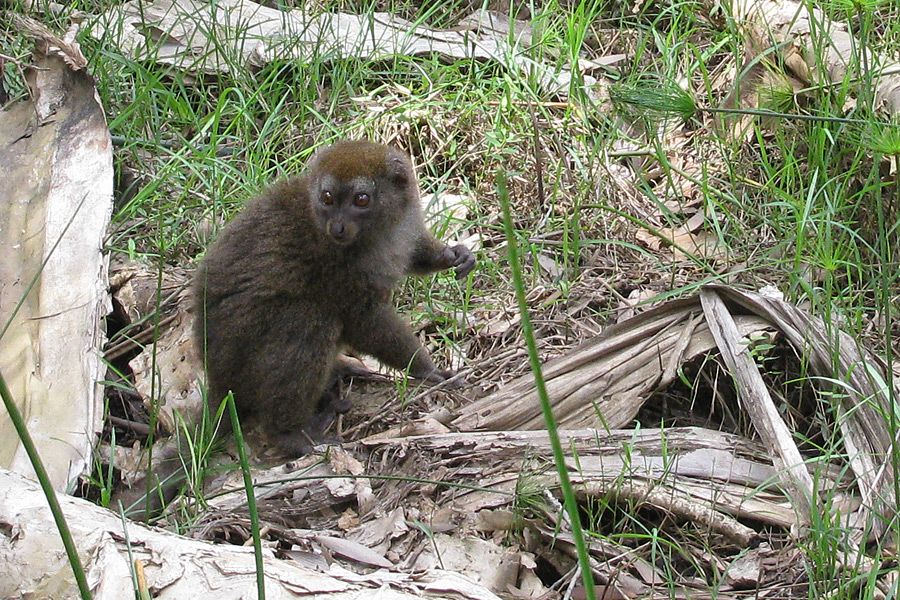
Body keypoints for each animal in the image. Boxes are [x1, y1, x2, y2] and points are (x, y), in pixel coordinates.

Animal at [193, 139, 475, 457]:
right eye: (327, 198)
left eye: (361, 200)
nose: (337, 227)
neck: (376, 234)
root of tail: (219, 382)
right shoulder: (339, 270)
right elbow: (365, 323)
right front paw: (427, 369)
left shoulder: (405, 221)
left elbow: (413, 251)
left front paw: (451, 255)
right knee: (308, 321)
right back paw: (288, 435)